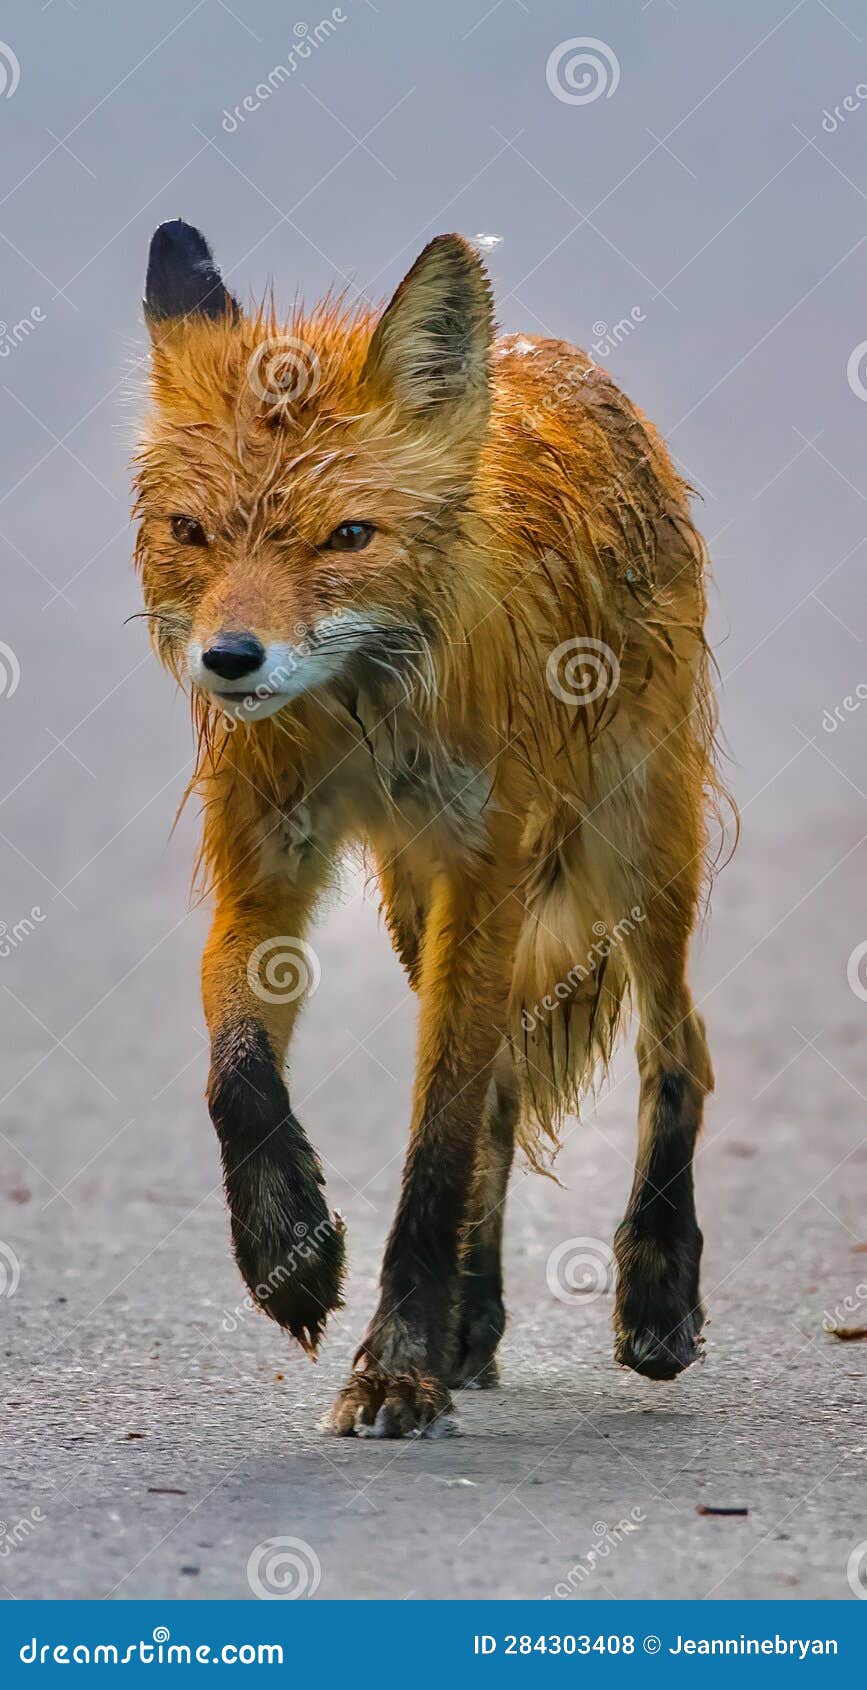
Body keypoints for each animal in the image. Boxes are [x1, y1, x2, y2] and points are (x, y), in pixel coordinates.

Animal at [133, 218, 730, 1438]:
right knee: (503, 1091)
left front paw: (395, 1364)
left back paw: (655, 1286)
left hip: (637, 849)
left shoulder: (484, 870)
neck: (362, 710)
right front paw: (290, 1253)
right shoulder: (265, 870)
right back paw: (475, 1317)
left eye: (346, 536)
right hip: (420, 908)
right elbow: (236, 1075)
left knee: (676, 1046)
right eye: (192, 532)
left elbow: (436, 1147)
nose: (231, 660)